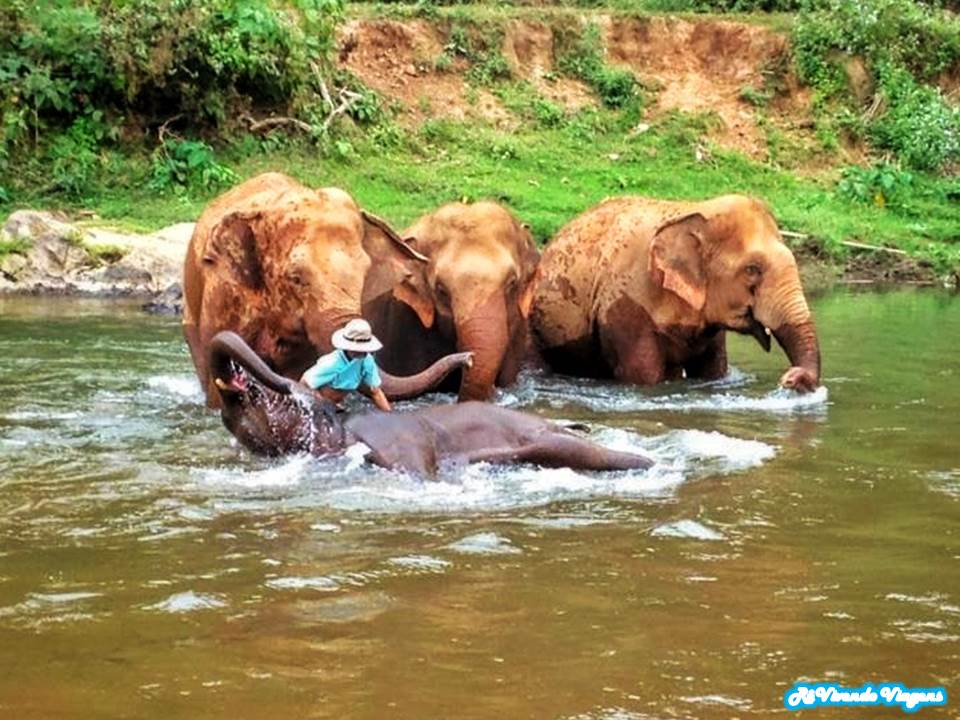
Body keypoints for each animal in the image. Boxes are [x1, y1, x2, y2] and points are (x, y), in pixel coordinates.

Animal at [531, 195, 821, 392]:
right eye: (752, 269)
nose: (789, 380)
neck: (694, 210)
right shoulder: (625, 307)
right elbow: (643, 374)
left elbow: (713, 370)